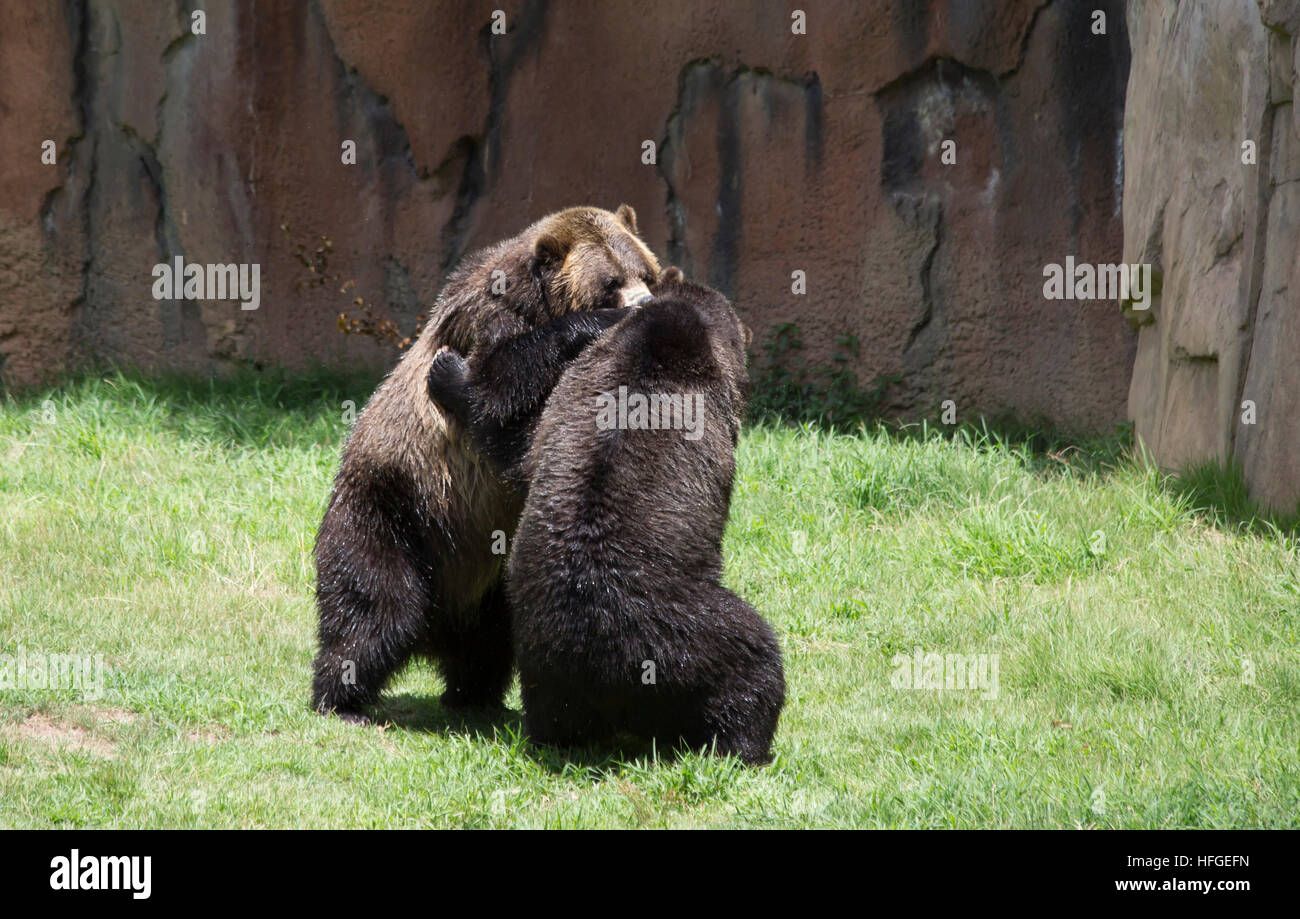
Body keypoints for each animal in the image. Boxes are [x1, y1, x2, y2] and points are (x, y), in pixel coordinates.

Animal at [312, 205, 661, 723]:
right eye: (611, 281)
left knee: (491, 636)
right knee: (374, 604)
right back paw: (341, 697)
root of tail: (439, 627)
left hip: (487, 565)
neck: (536, 302)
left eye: (646, 271)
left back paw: (474, 696)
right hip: (393, 508)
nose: (645, 301)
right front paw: (596, 323)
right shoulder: (484, 319)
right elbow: (497, 379)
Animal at [426, 269, 785, 764]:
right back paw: (749, 745)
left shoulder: (574, 393)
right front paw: (449, 369)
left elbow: (516, 445)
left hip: (540, 652)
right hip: (693, 631)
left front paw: (449, 372)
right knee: (754, 662)